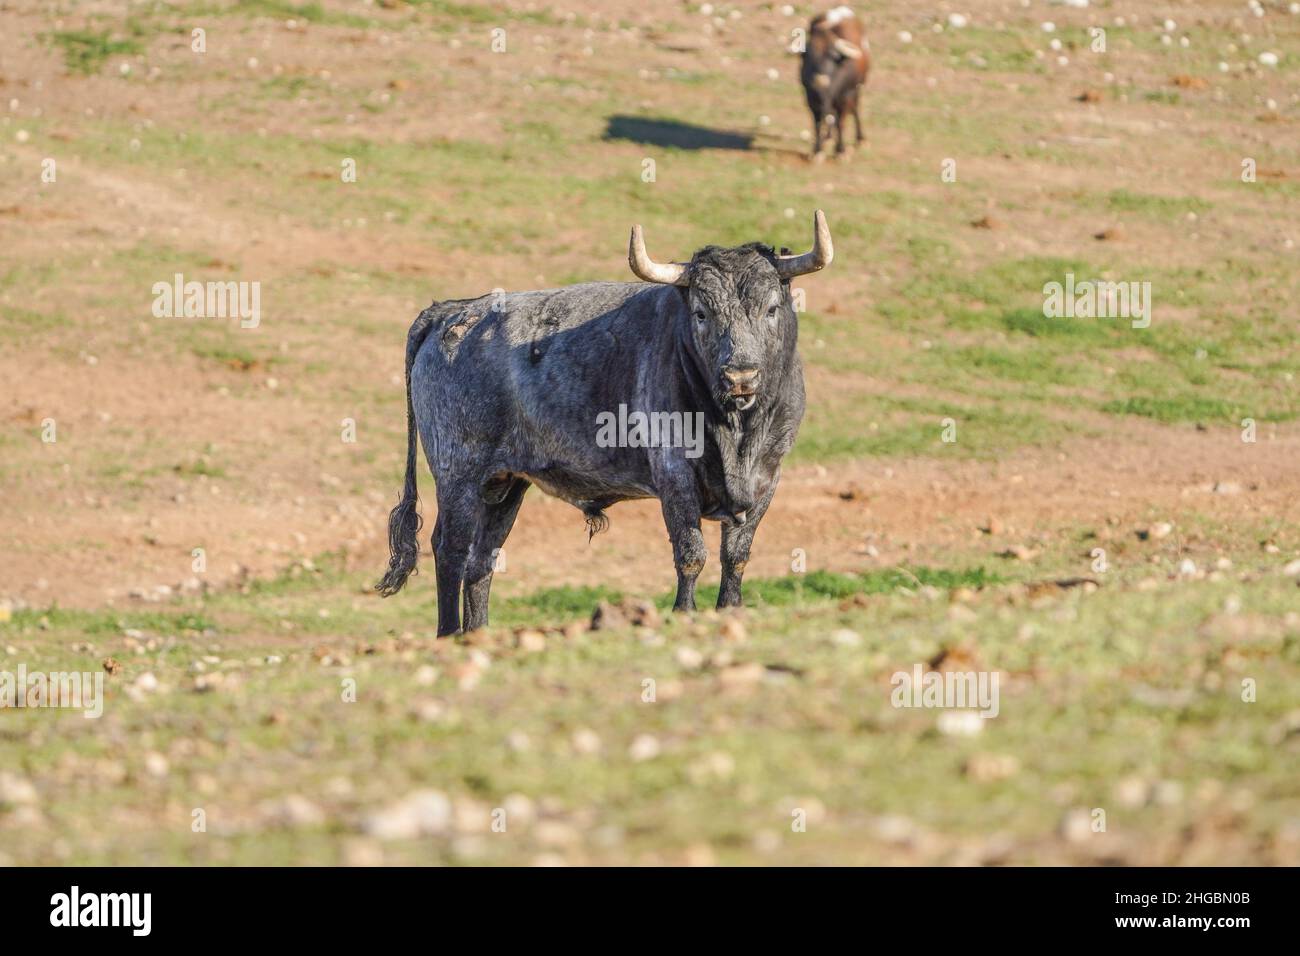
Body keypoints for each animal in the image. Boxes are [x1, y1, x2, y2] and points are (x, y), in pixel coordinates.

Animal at [375, 212, 835, 636]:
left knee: (481, 560)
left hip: (504, 485)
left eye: (771, 309)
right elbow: (691, 553)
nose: (740, 376)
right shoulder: (674, 474)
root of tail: (452, 311)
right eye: (702, 313)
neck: (736, 431)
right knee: (450, 550)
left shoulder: (768, 476)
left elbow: (735, 555)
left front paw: (729, 610)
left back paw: (479, 632)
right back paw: (450, 633)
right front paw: (683, 613)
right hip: (458, 474)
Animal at [800, 6, 871, 160]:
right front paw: (817, 150)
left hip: (856, 88)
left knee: (854, 109)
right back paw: (828, 138)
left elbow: (841, 122)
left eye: (832, 54)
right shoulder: (811, 99)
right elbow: (818, 122)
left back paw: (860, 138)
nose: (819, 82)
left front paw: (841, 150)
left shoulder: (846, 95)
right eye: (808, 56)